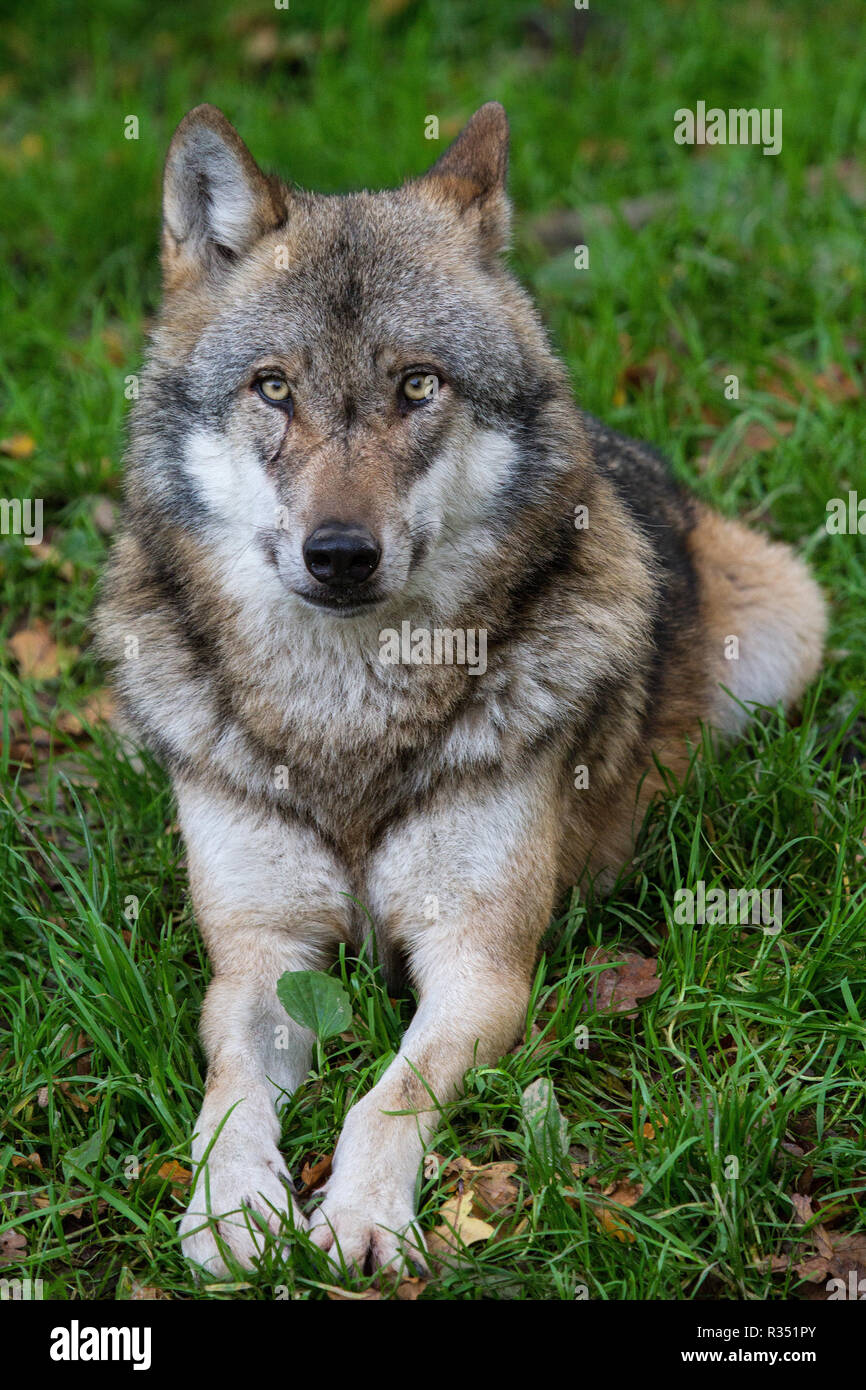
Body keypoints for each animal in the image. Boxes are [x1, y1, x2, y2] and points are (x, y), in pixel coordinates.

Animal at [96, 102, 826, 1279]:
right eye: (273, 387)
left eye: (418, 384)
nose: (340, 554)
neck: (344, 716)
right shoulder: (257, 960)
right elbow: (229, 1093)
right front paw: (227, 1209)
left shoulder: (479, 962)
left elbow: (388, 1094)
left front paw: (355, 1215)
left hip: (791, 625)